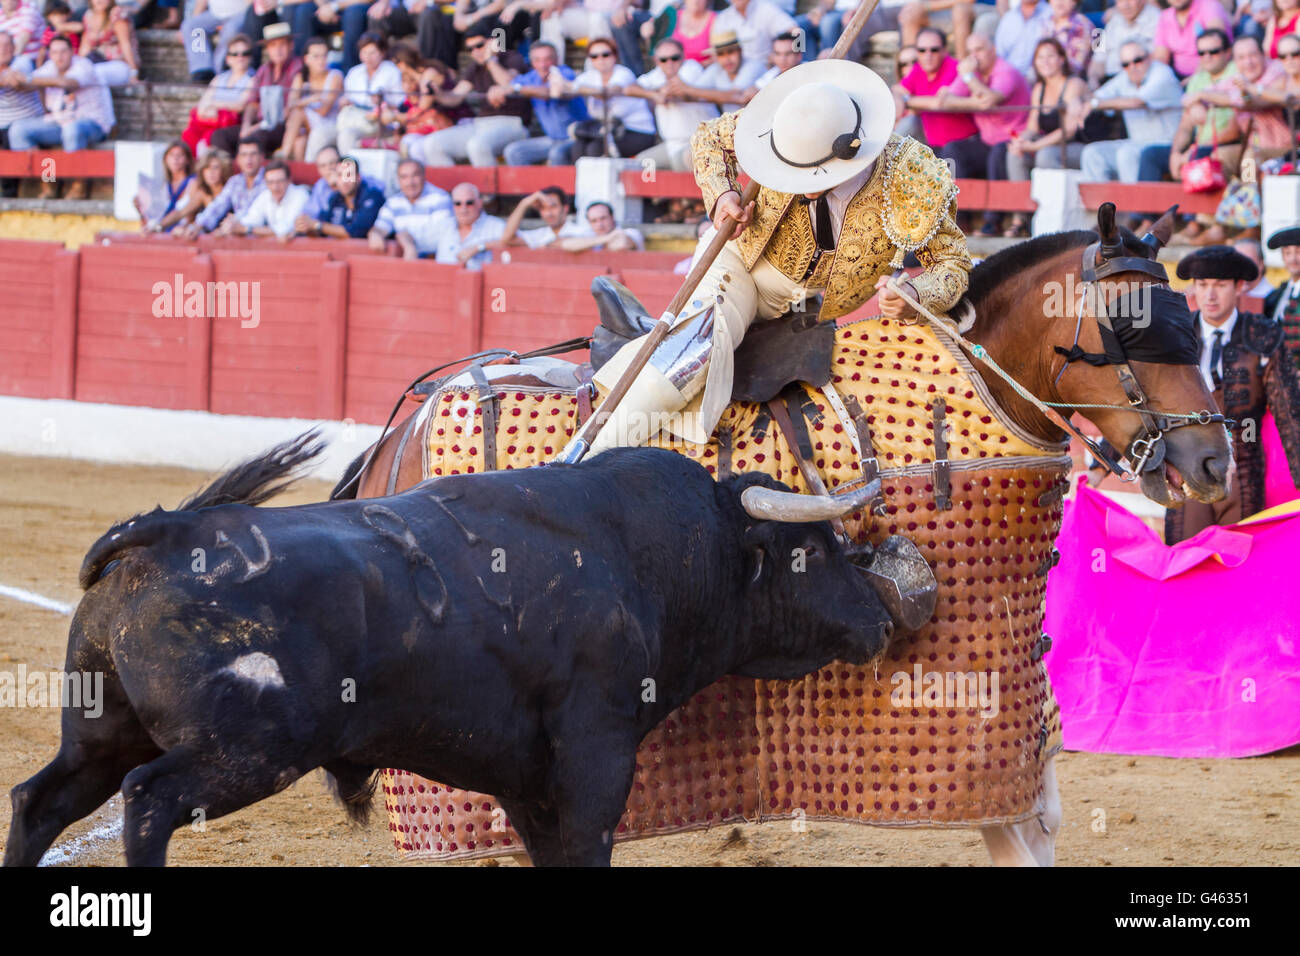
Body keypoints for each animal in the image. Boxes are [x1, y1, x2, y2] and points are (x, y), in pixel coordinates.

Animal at [5, 434, 895, 867]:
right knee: (149, 802)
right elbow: (588, 846)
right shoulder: (596, 755)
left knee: (39, 800)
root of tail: (164, 535)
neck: (652, 552)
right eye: (812, 548)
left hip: (99, 732)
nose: (884, 617)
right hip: (247, 751)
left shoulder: (527, 780)